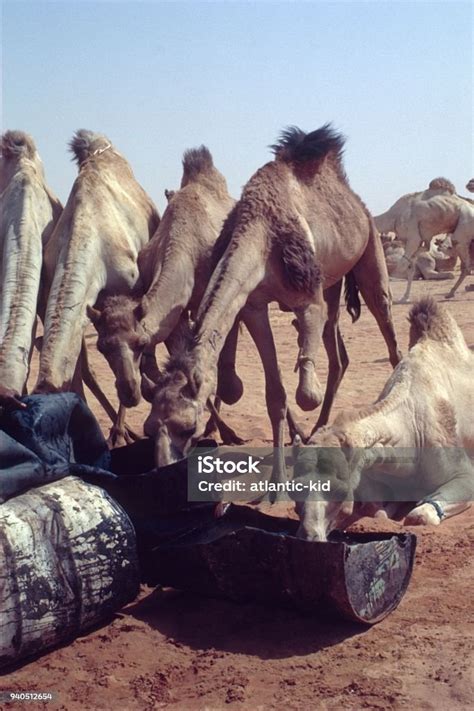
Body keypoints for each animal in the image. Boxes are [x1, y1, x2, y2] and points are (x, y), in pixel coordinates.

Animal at [35, 130, 160, 443]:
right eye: (102, 347)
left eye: (140, 343)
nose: (131, 394)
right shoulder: (82, 305)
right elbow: (82, 369)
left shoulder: (133, 292)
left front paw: (120, 432)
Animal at [142, 124, 401, 482]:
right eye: (150, 427)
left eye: (188, 426)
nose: (163, 468)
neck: (261, 233)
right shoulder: (253, 306)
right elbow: (274, 394)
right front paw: (278, 482)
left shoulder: (308, 300)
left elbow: (305, 394)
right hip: (332, 282)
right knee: (338, 356)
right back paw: (318, 431)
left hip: (371, 250)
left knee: (388, 335)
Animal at [294, 297, 473, 541]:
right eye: (295, 489)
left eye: (338, 490)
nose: (308, 536)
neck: (411, 432)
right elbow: (377, 511)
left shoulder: (465, 475)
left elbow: (419, 515)